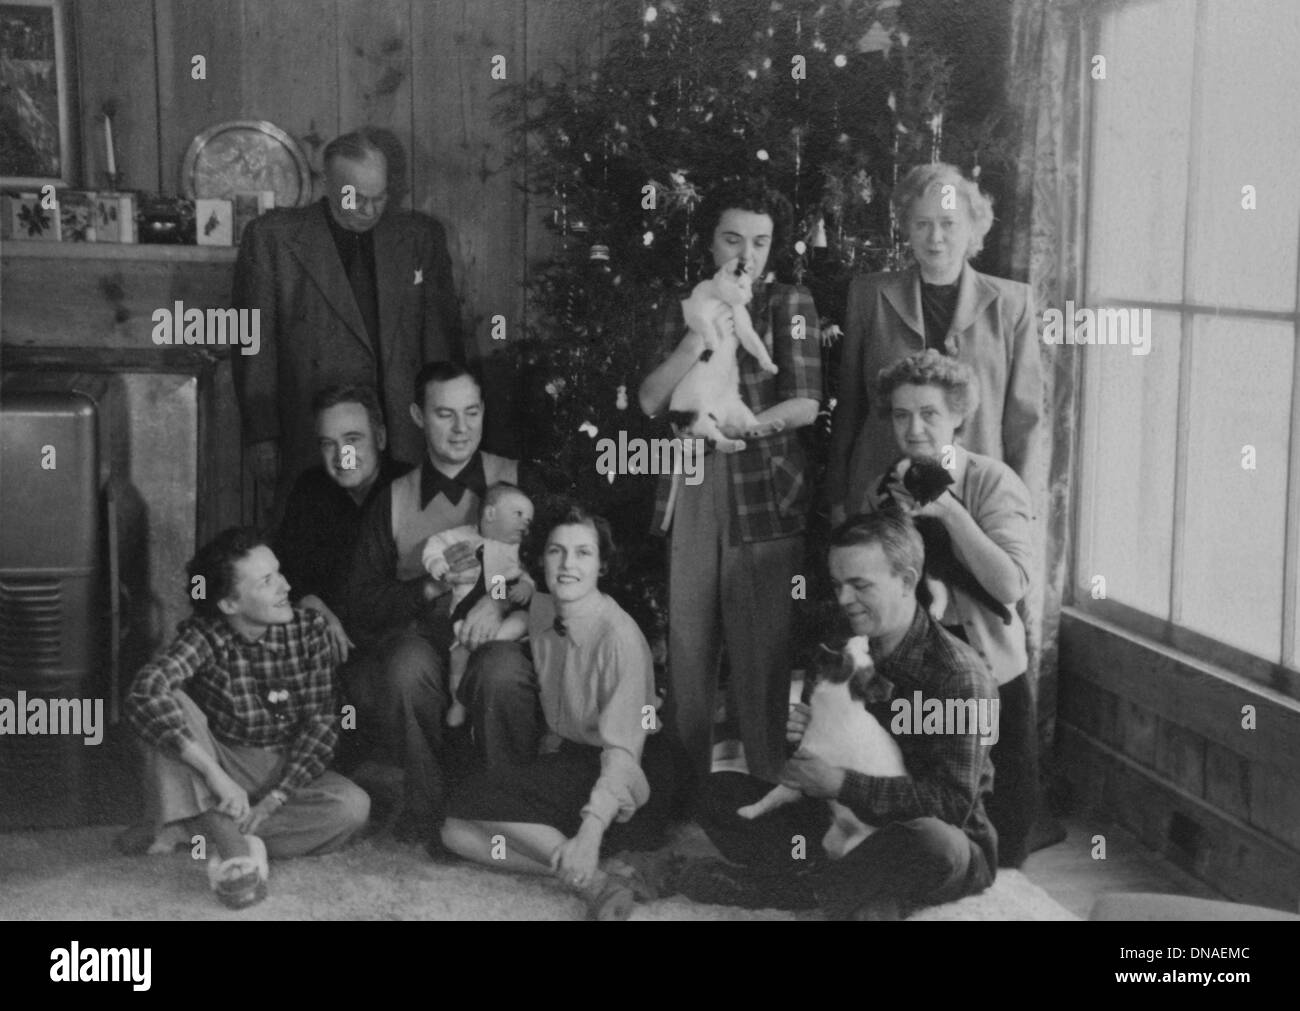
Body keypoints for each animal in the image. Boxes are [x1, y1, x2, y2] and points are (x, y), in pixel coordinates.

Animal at [670, 258, 780, 452]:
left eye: (750, 287)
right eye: (742, 286)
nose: (749, 297)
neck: (720, 298)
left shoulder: (744, 328)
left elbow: (756, 345)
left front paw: (768, 365)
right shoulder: (692, 310)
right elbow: (705, 324)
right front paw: (712, 341)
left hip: (739, 408)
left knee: (750, 427)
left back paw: (768, 426)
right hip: (699, 418)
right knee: (716, 440)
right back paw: (733, 444)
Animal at [738, 634, 909, 852]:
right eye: (850, 644)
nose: (865, 636)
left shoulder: (799, 777)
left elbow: (774, 794)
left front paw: (750, 811)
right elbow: (771, 796)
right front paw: (750, 810)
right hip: (830, 839)